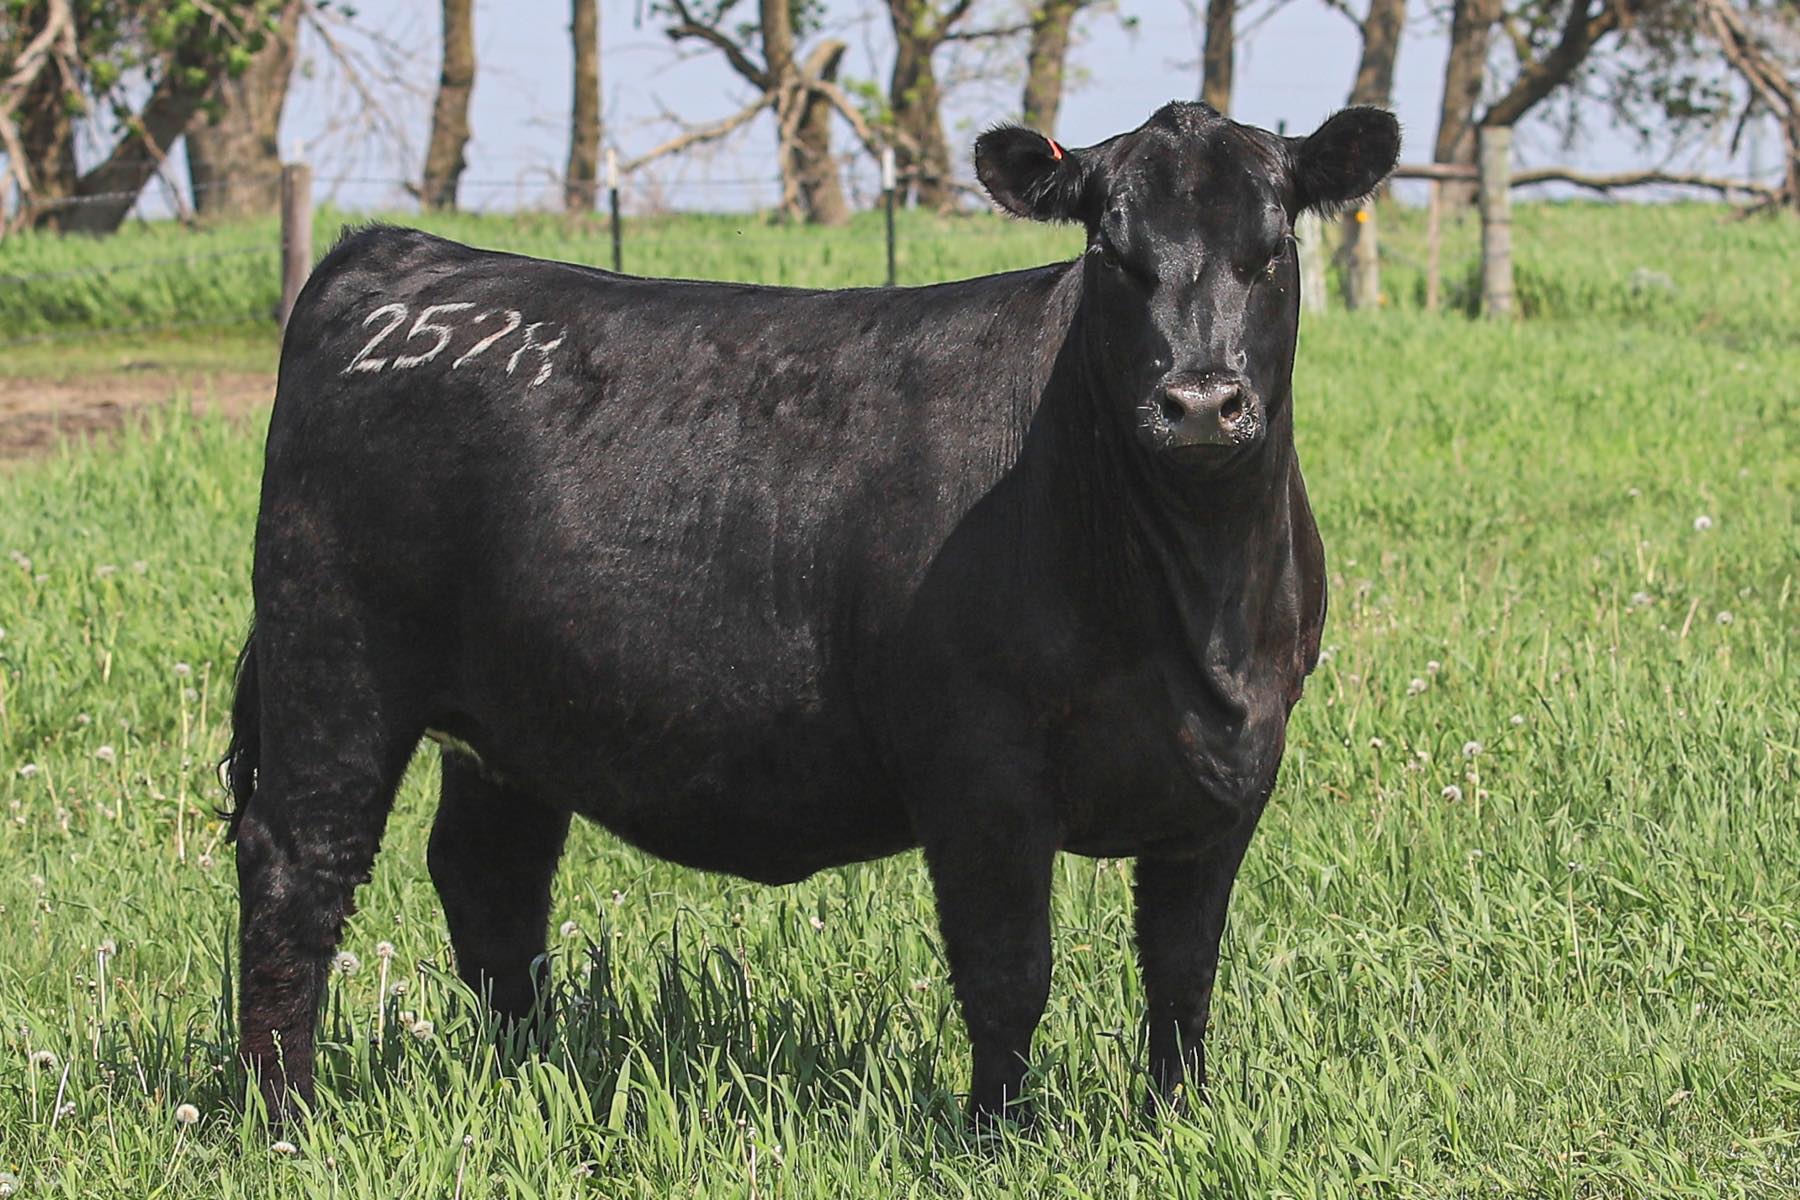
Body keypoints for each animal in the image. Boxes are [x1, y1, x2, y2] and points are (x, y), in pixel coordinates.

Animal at [224, 100, 1399, 1124]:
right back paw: (286, 1117)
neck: (1200, 607)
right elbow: (1009, 972)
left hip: (513, 714)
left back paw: (535, 1076)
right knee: (299, 871)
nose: (1200, 401)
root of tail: (401, 261)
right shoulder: (979, 771)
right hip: (333, 661)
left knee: (491, 883)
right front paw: (999, 1136)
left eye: (1273, 251)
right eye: (1112, 254)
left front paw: (1175, 1121)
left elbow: (1183, 972)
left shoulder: (1236, 773)